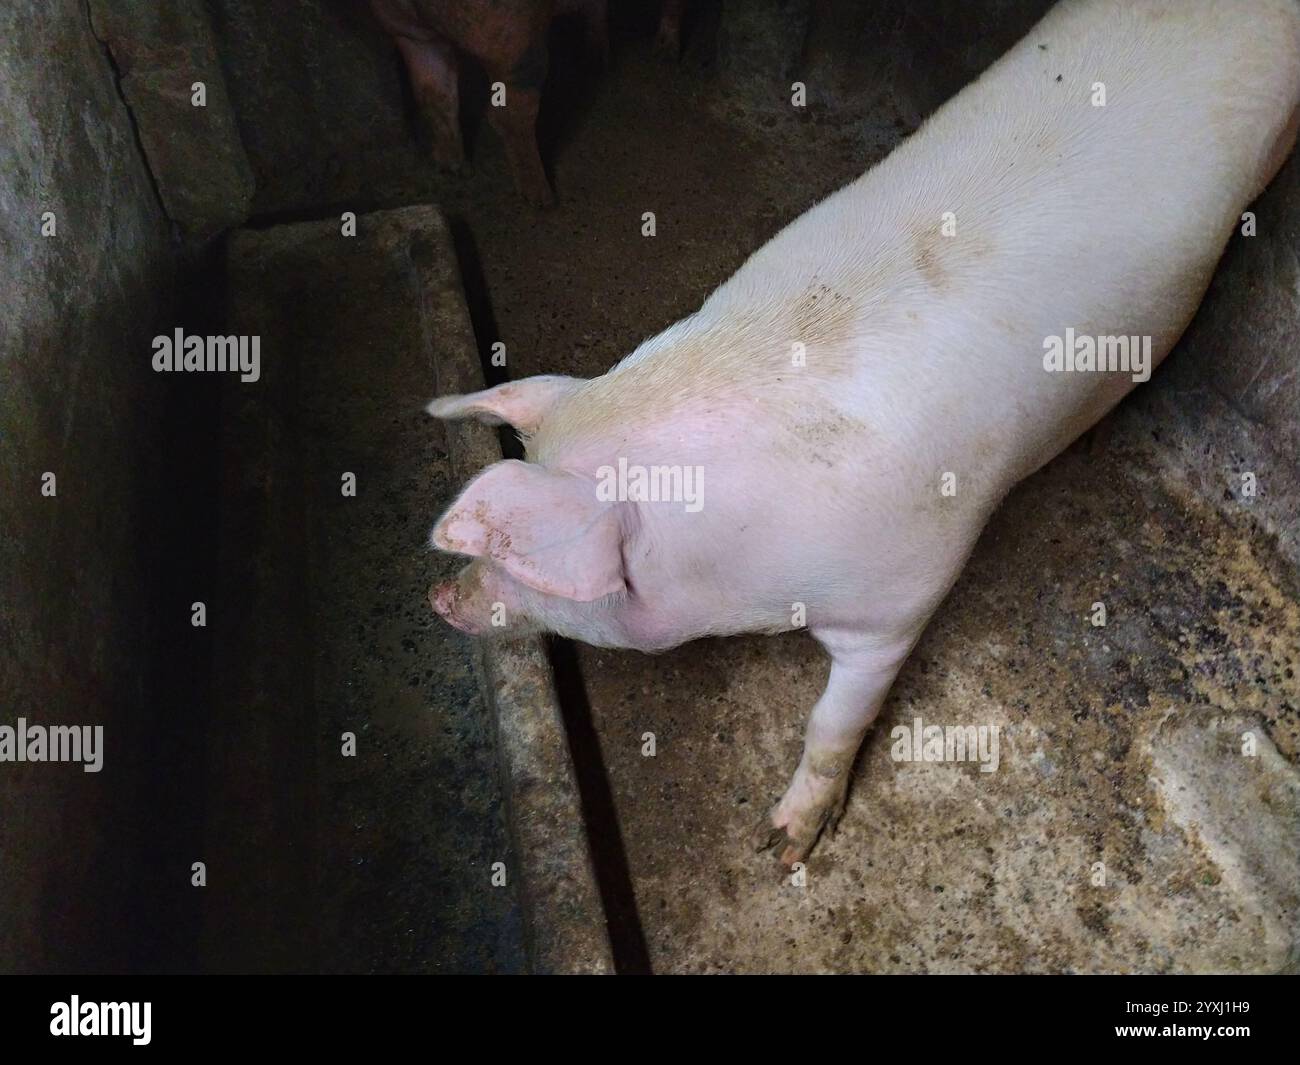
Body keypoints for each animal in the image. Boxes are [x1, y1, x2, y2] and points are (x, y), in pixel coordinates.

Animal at [370, 0, 608, 207]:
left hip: (408, 30)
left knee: (434, 94)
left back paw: (456, 169)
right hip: (514, 37)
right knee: (509, 115)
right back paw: (544, 200)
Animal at [426, 0, 1300, 865]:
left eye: (521, 570)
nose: (439, 596)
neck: (733, 567)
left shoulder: (903, 595)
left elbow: (835, 718)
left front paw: (787, 847)